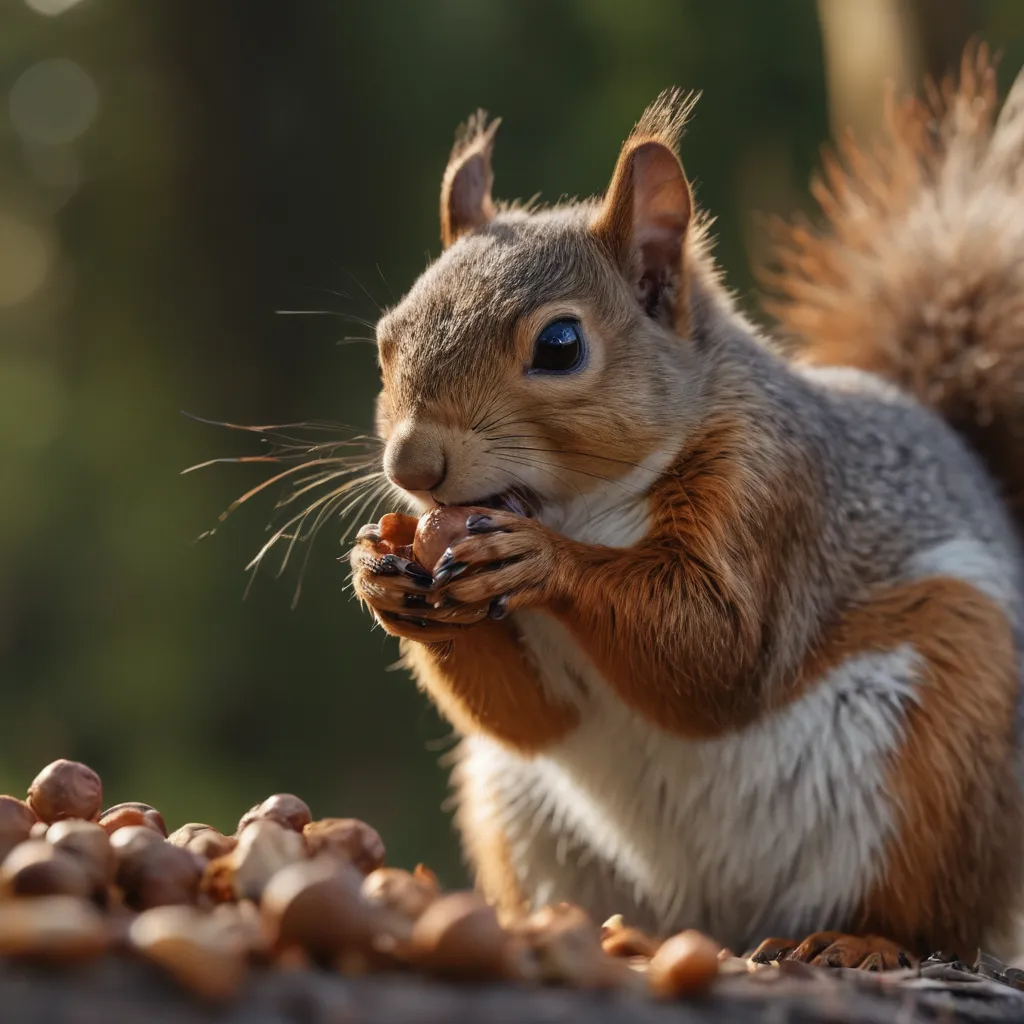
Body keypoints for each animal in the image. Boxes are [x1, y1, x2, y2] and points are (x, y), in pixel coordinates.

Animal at [348, 45, 1024, 968]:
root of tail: (730, 915)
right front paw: (378, 570)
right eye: (386, 340)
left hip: (947, 748)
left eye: (560, 345)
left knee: (929, 913)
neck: (583, 507)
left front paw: (538, 560)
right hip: (516, 805)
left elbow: (716, 650)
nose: (413, 466)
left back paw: (856, 940)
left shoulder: (771, 494)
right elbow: (530, 714)